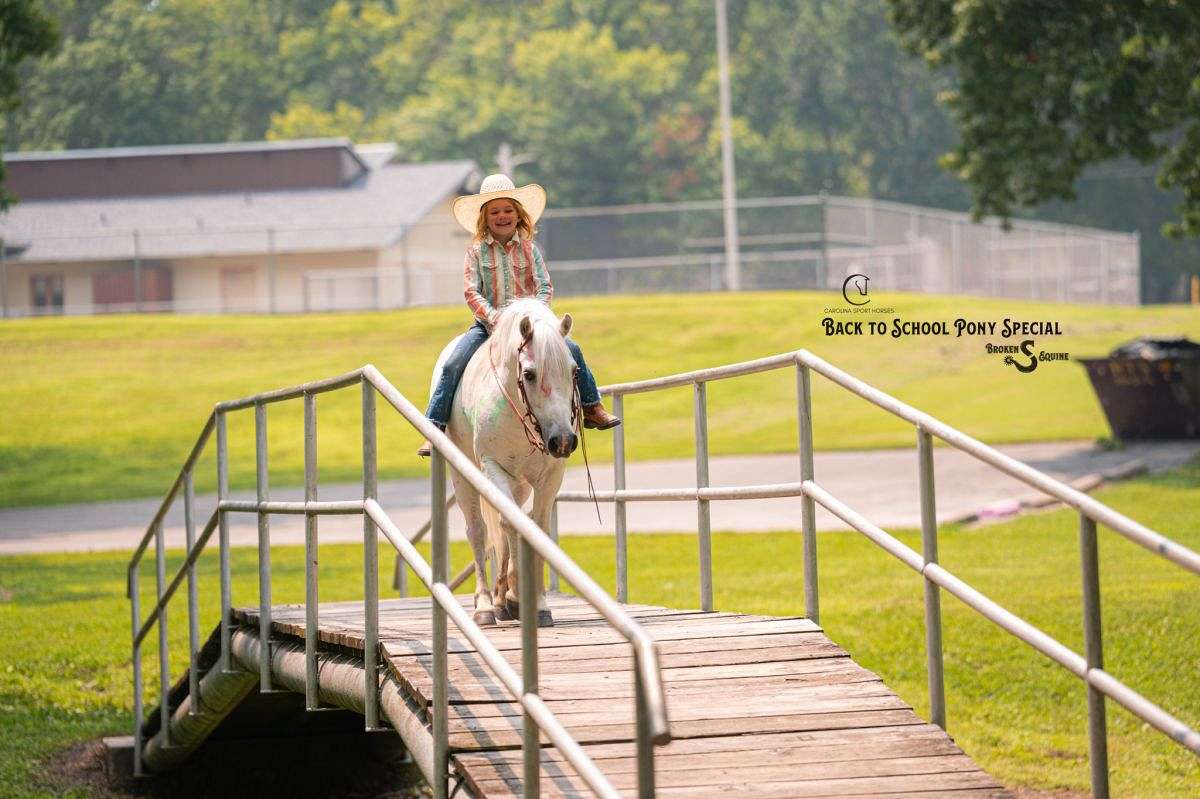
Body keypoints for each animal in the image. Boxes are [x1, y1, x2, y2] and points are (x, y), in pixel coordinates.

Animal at [430, 298, 579, 628]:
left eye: (575, 371)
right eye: (530, 374)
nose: (562, 440)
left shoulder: (551, 475)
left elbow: (535, 528)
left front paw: (534, 603)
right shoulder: (492, 467)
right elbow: (504, 525)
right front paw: (509, 598)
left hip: (519, 484)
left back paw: (505, 597)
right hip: (464, 476)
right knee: (478, 530)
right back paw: (486, 604)